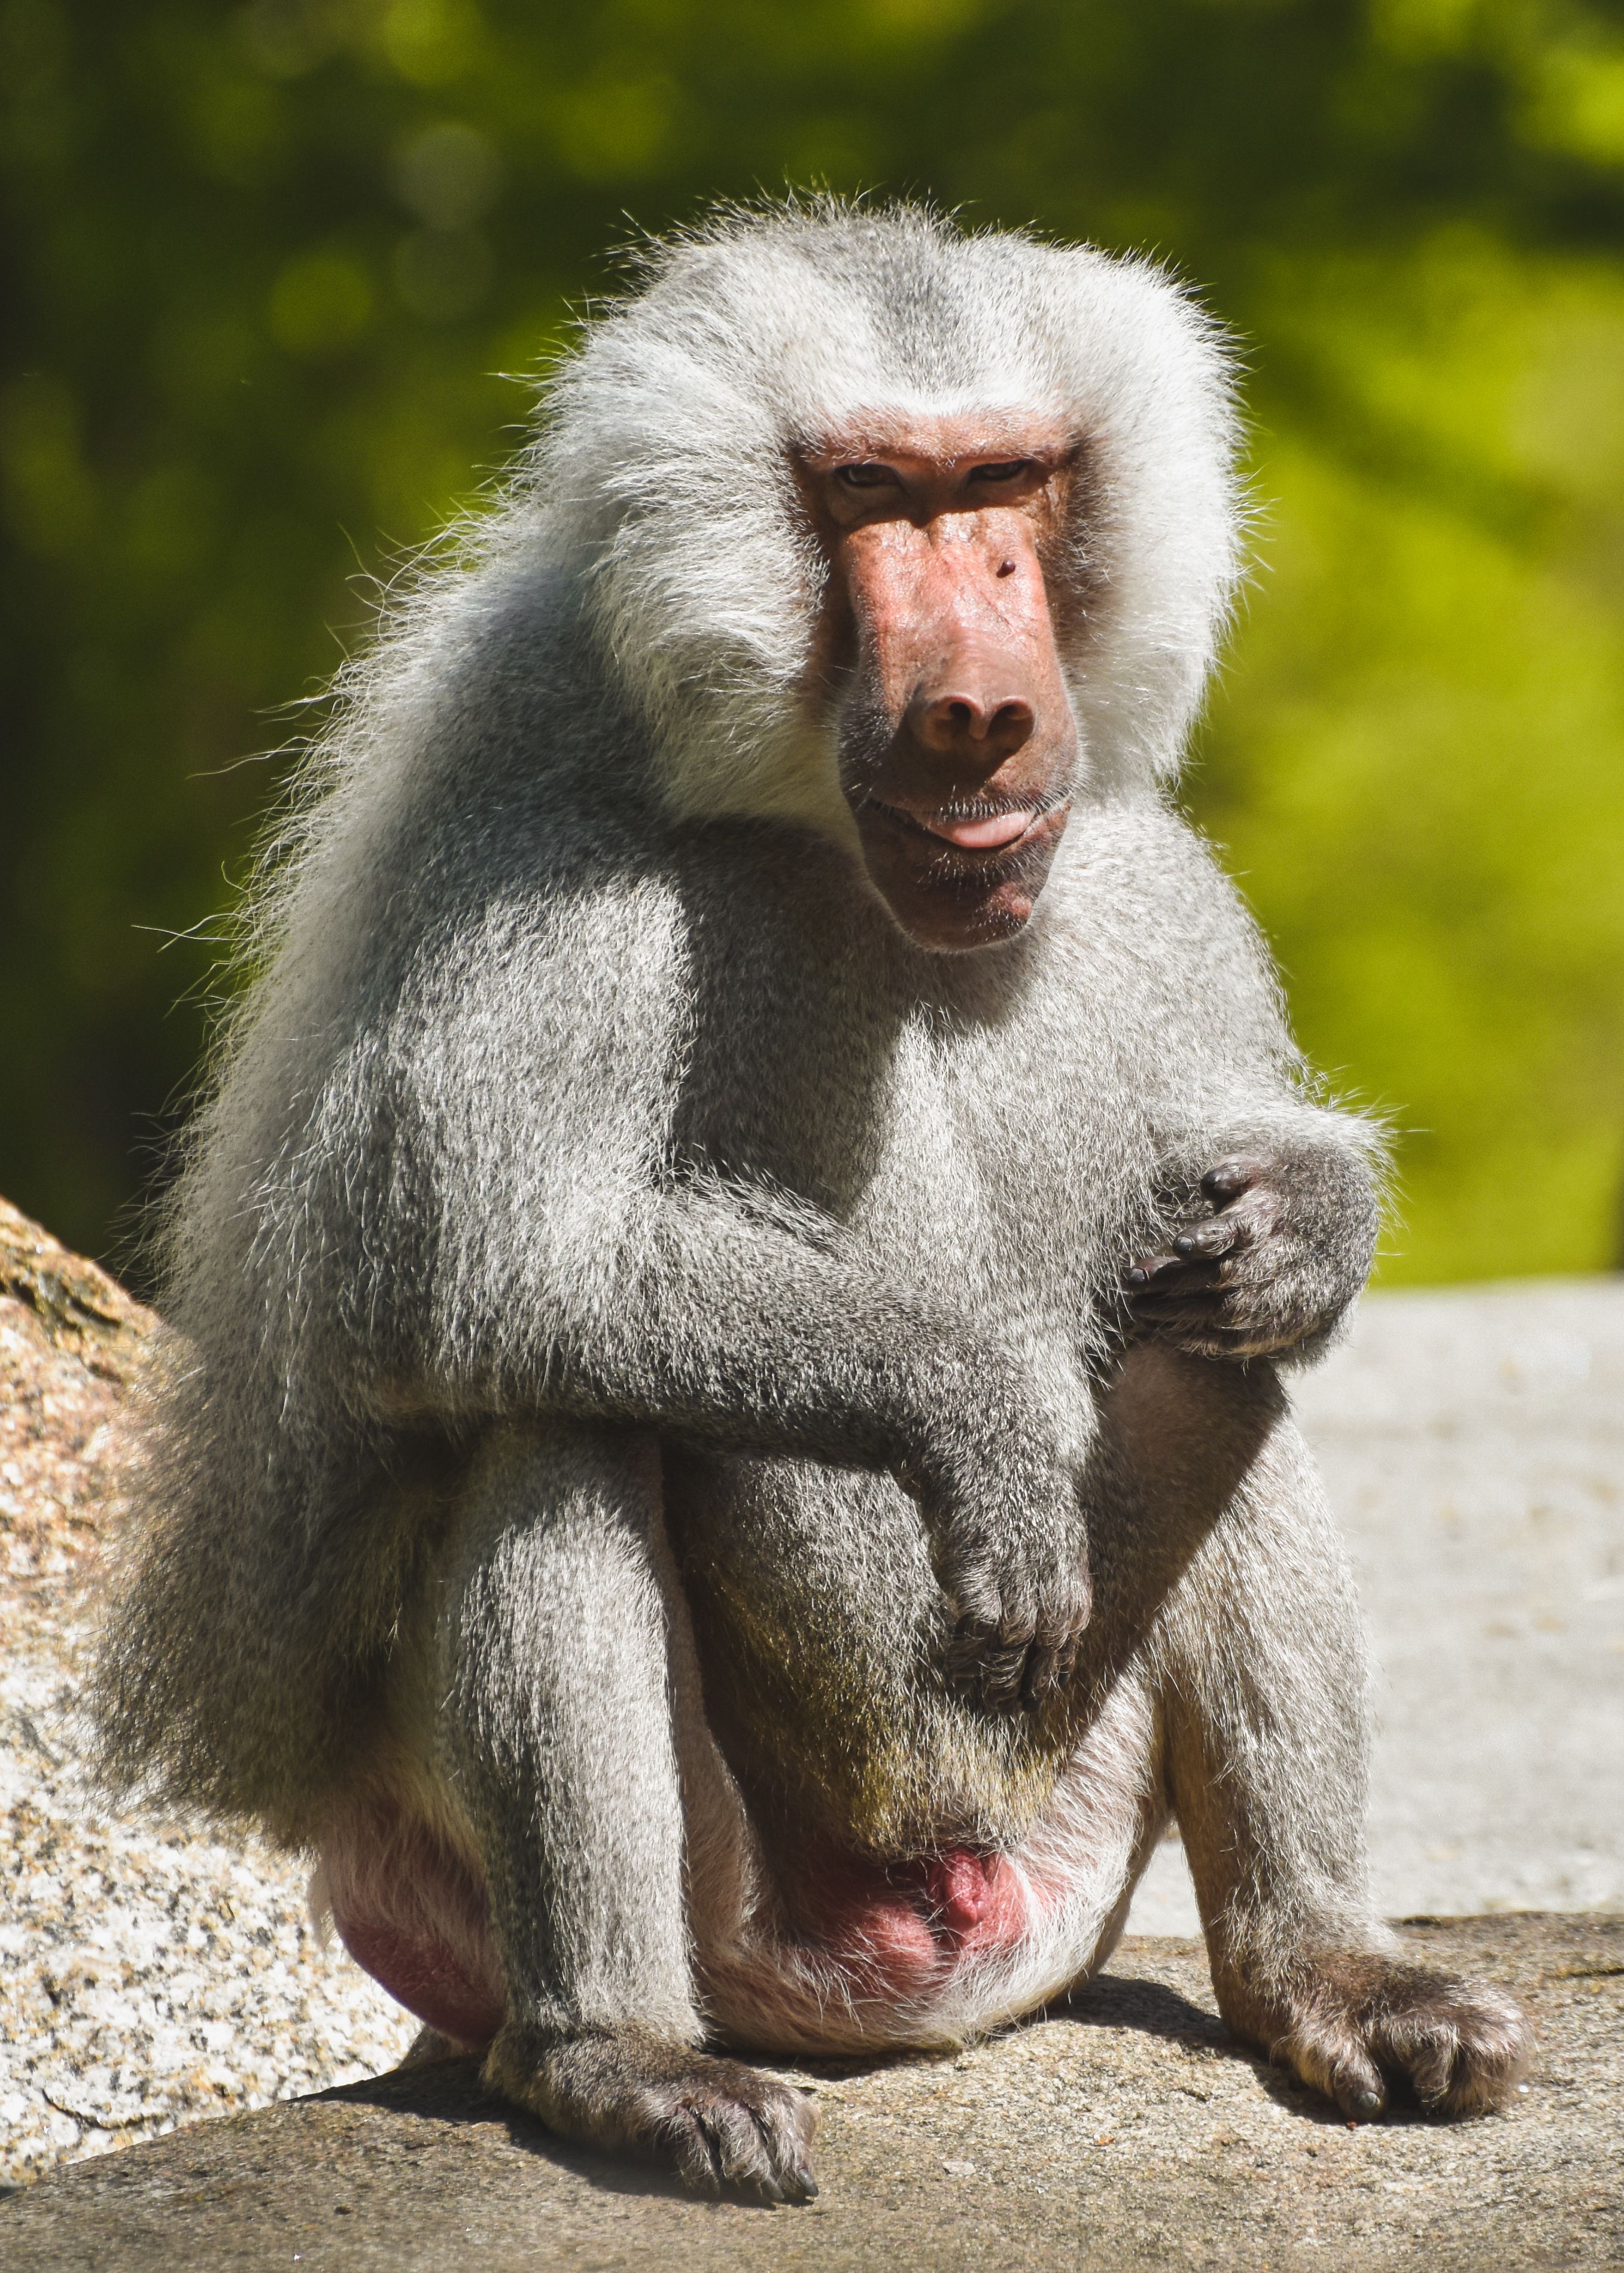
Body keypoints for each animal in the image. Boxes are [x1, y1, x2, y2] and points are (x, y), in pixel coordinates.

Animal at [94, 200, 1531, 2206]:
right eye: (870, 493)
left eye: (1004, 481)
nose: (983, 701)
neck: (846, 860)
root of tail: (923, 1954)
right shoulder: (531, 843)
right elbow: (457, 1270)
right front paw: (981, 1416)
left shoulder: (1147, 888)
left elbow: (1238, 1230)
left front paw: (1312, 1217)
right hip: (680, 1911)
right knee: (552, 1412)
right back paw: (619, 2059)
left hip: (1063, 1815)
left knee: (1215, 1357)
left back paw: (1324, 1973)